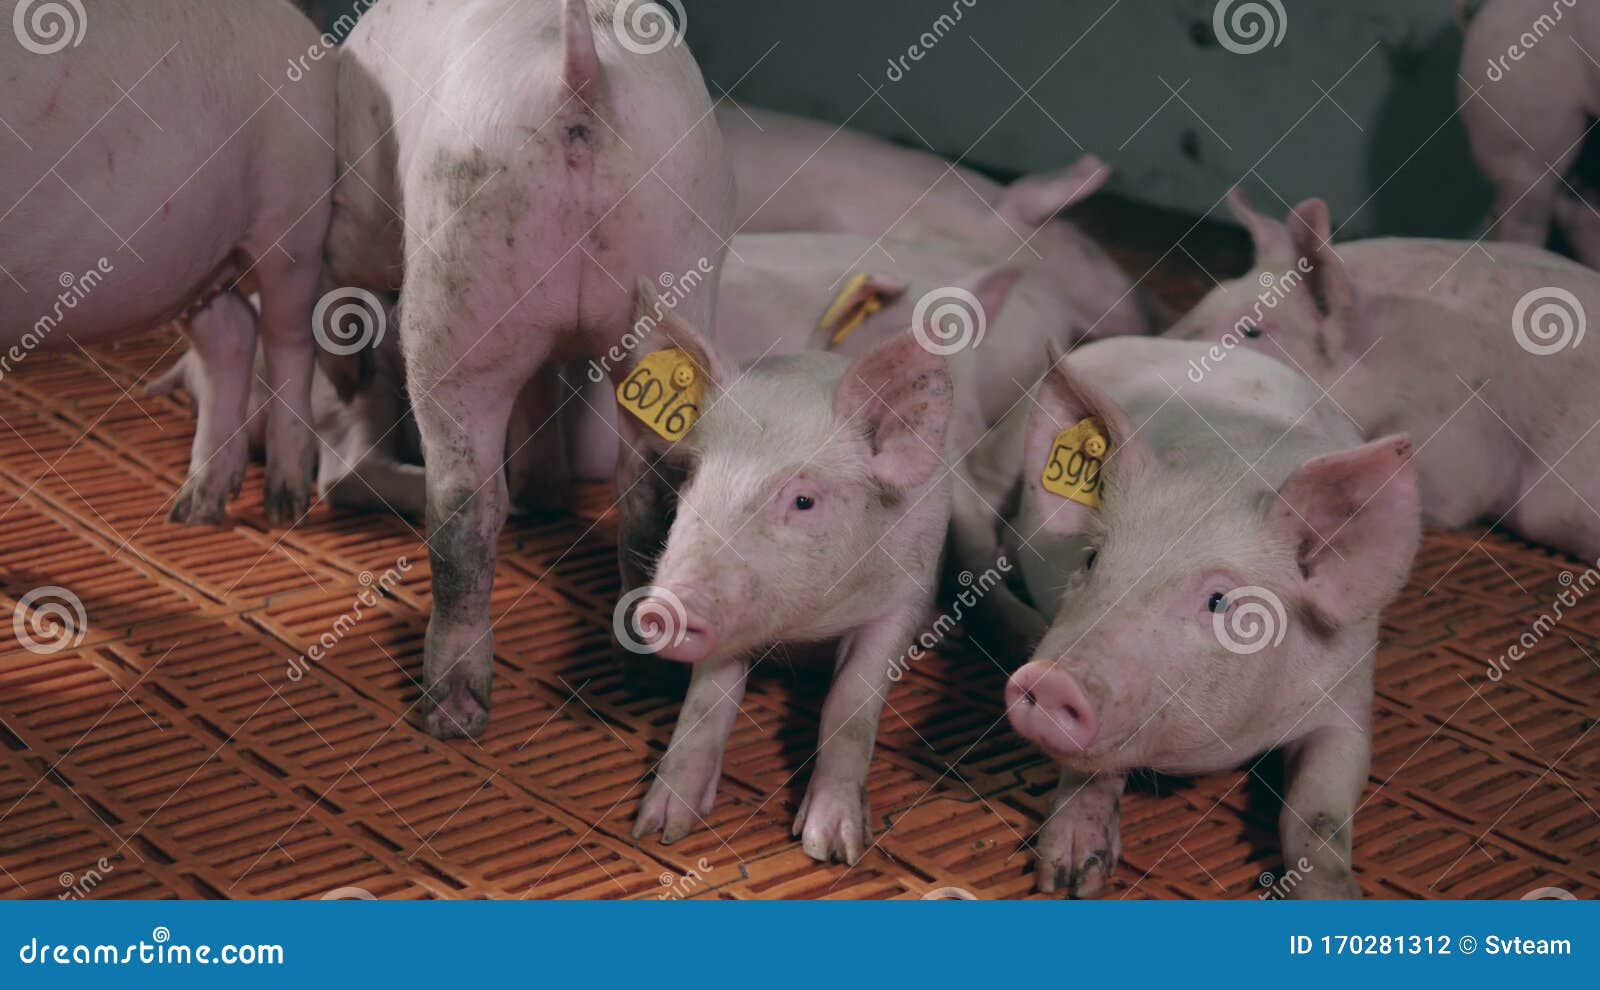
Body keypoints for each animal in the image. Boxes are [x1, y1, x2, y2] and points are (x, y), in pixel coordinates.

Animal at [0, 0, 328, 524]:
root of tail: (301, 25)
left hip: (294, 209)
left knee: (290, 340)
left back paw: (284, 505)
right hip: (196, 259)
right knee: (232, 332)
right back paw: (194, 509)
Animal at [324, 0, 733, 738]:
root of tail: (582, 80)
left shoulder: (358, 180)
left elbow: (341, 266)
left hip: (458, 288)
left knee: (464, 504)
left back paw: (452, 713)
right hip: (676, 271)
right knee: (649, 489)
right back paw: (646, 673)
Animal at [619, 280, 955, 864]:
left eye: (803, 500)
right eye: (693, 482)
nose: (666, 609)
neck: (805, 628)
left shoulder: (903, 597)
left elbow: (850, 705)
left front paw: (829, 848)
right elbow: (706, 703)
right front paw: (659, 829)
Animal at [954, 336, 1420, 897]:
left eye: (1219, 600)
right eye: (1091, 559)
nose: (1048, 680)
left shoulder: (1347, 699)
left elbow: (1317, 815)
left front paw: (1336, 893)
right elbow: (1090, 770)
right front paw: (1069, 879)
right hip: (1000, 455)